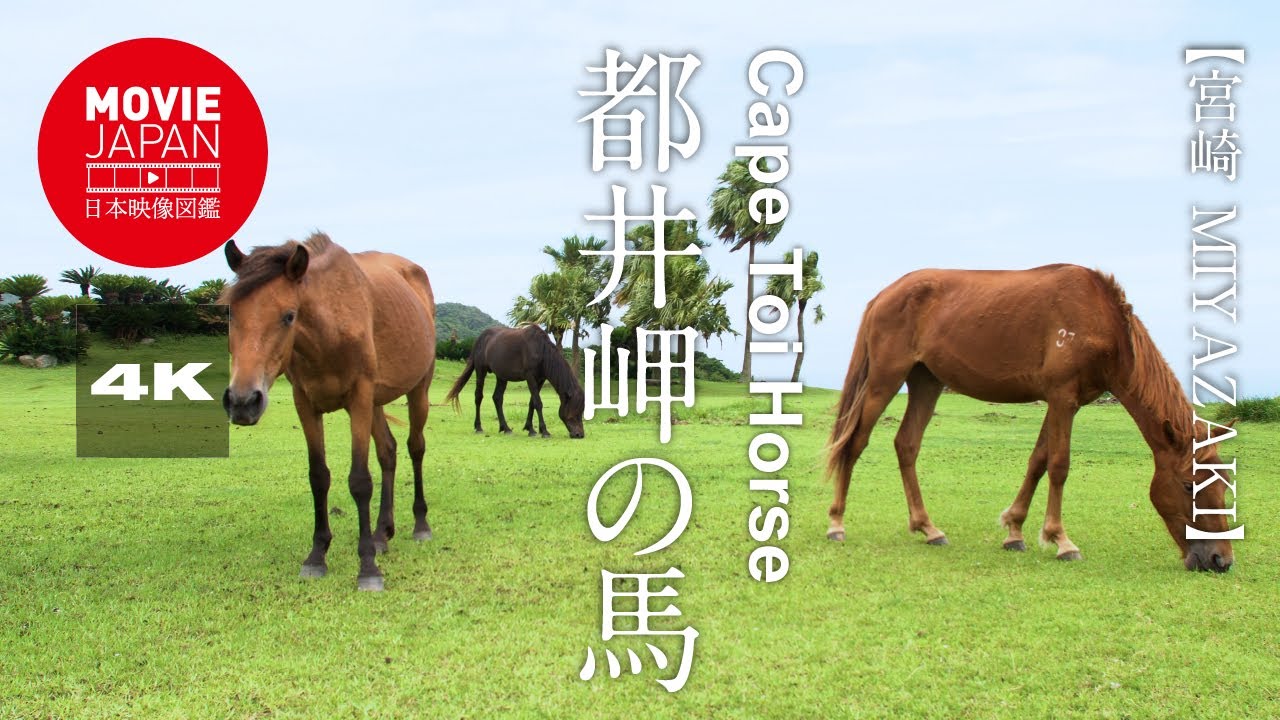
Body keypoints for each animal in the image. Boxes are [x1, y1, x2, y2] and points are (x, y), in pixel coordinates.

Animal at [220, 232, 437, 591]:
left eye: (288, 316)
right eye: (231, 314)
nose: (241, 401)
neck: (330, 330)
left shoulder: (359, 398)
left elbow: (360, 481)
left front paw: (368, 568)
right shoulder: (305, 403)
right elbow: (318, 476)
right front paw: (317, 555)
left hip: (417, 389)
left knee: (415, 448)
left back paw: (420, 525)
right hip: (377, 402)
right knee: (388, 452)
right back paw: (381, 533)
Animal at [444, 325, 585, 439]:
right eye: (576, 411)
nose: (579, 434)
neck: (540, 350)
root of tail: (480, 339)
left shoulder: (540, 379)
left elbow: (532, 403)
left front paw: (530, 429)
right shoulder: (530, 377)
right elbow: (538, 403)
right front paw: (544, 431)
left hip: (501, 377)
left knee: (497, 398)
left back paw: (505, 428)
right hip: (480, 370)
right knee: (479, 397)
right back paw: (479, 427)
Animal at [826, 264, 1236, 572]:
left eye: (1225, 485)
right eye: (1189, 485)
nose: (1220, 560)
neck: (1102, 318)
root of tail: (883, 296)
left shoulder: (1061, 401)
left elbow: (1038, 461)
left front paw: (1014, 531)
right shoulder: (1062, 398)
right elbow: (1059, 465)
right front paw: (1061, 540)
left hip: (926, 381)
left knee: (906, 445)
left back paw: (929, 528)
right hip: (884, 379)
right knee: (854, 443)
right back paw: (836, 523)